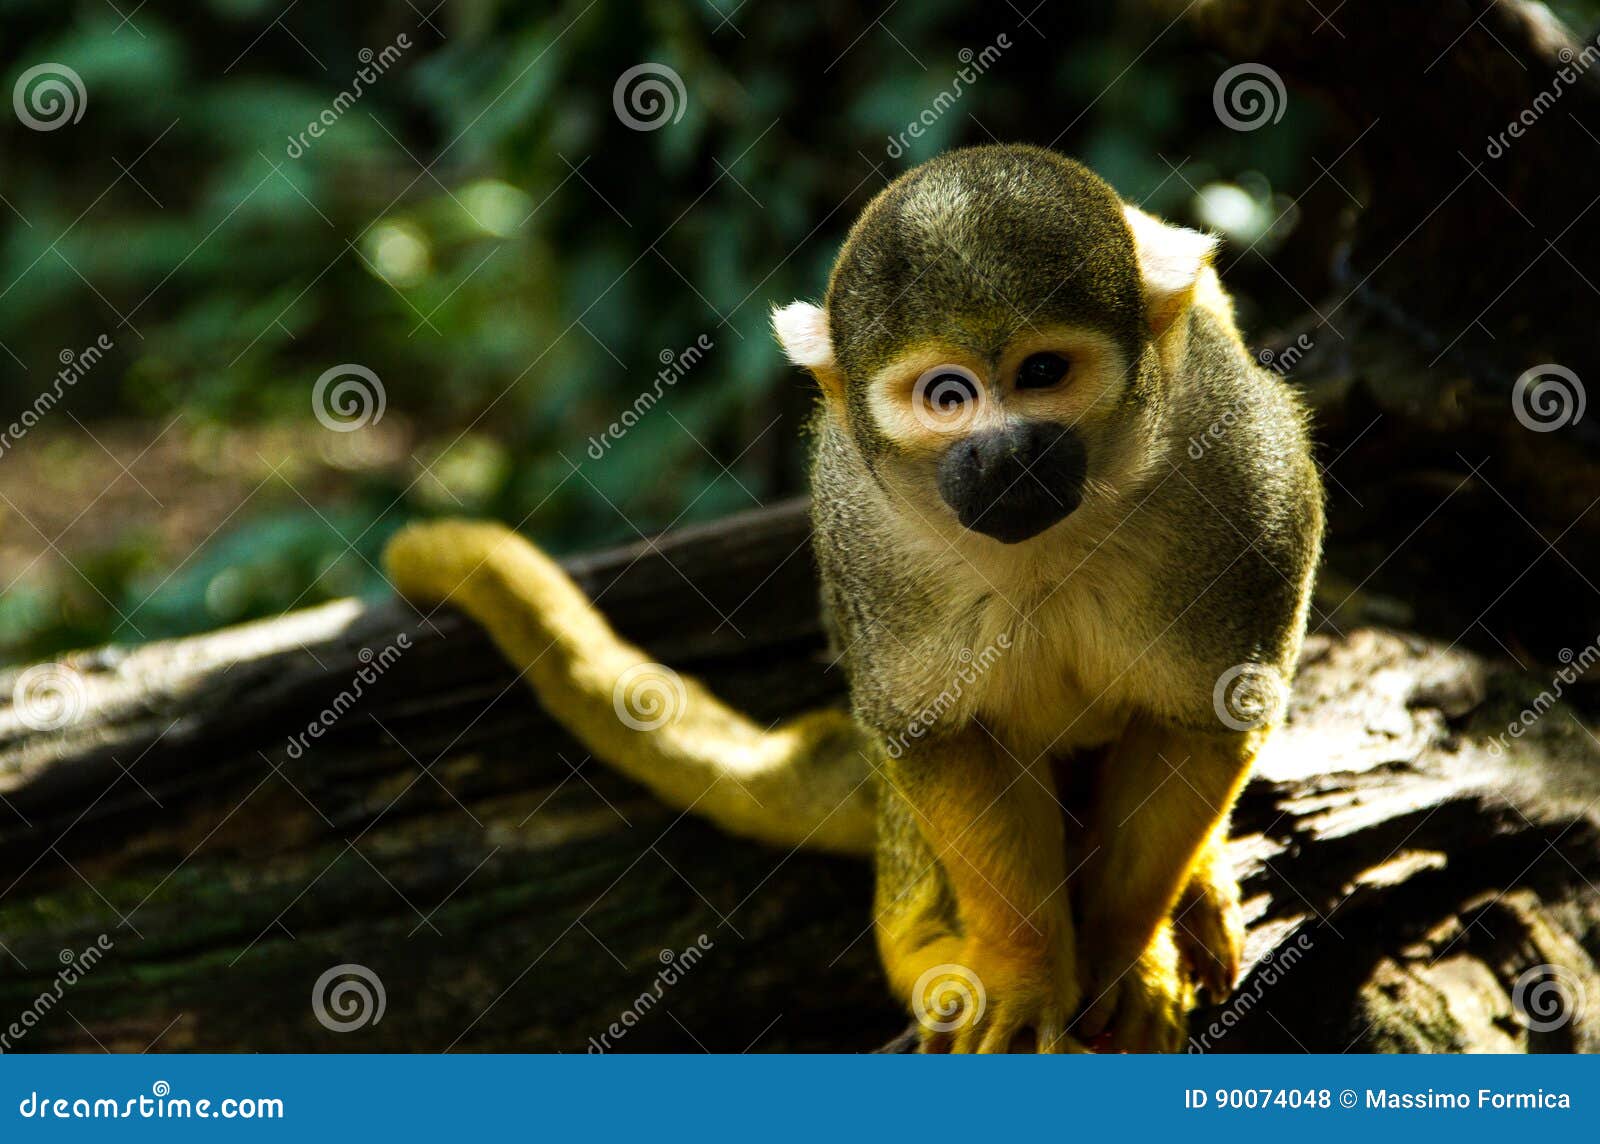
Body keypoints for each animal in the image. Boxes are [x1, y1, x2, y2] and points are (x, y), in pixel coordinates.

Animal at [383, 143, 1323, 1053]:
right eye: (947, 396)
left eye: (1043, 372)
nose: (1003, 455)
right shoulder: (865, 530)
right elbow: (935, 733)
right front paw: (1025, 974)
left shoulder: (1246, 479)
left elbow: (1208, 716)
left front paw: (1127, 956)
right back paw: (925, 950)